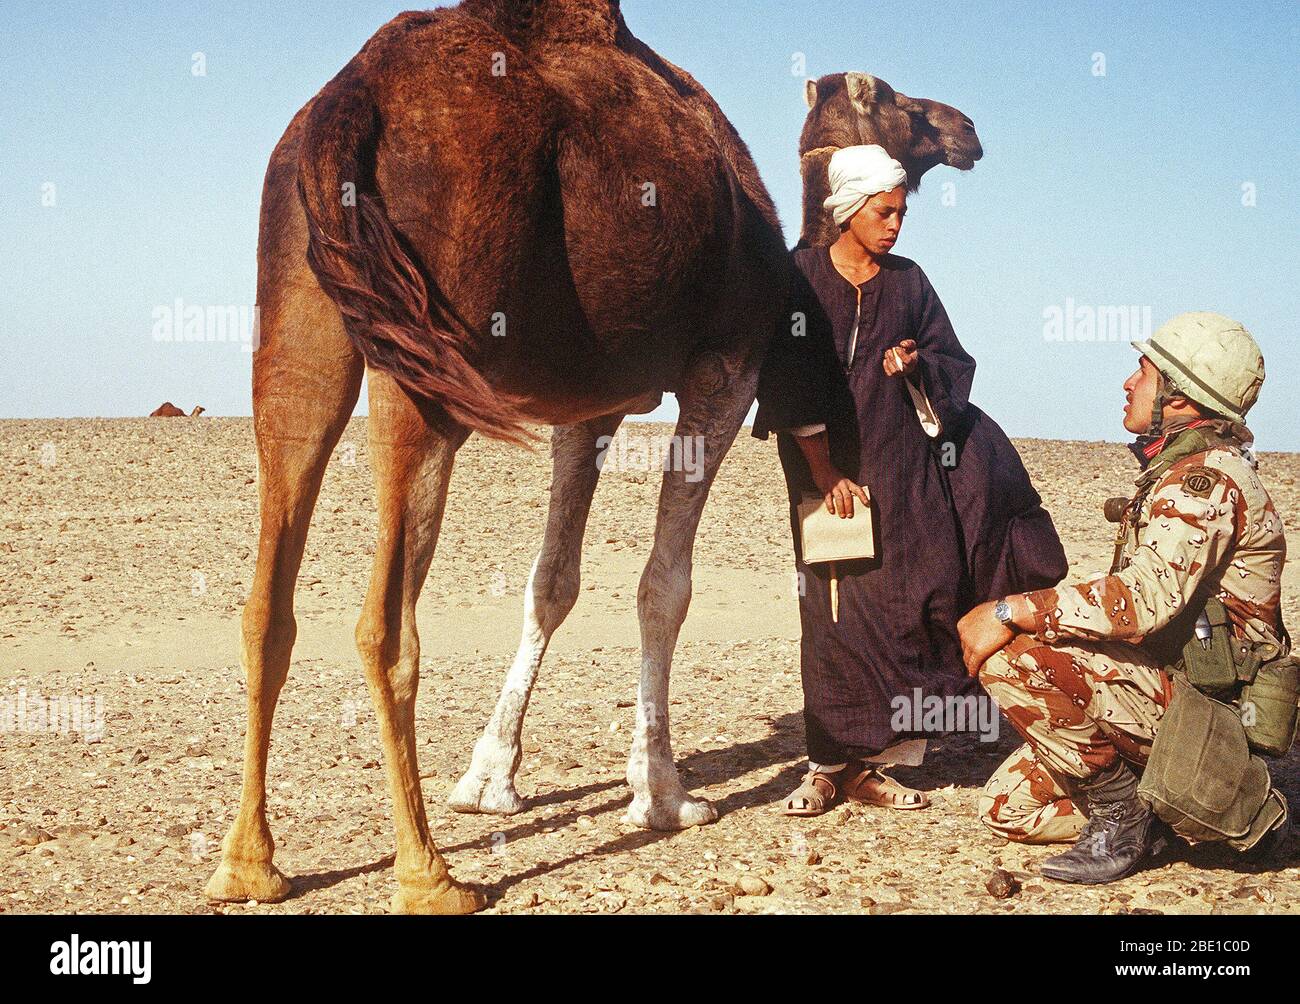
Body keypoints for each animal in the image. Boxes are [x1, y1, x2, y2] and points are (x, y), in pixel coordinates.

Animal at [205, 0, 982, 915]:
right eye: (898, 100)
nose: (966, 128)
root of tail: (347, 98)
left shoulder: (592, 404)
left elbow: (553, 581)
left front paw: (491, 779)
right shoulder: (726, 369)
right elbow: (664, 587)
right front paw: (664, 794)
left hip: (302, 316)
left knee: (268, 589)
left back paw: (250, 864)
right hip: (426, 338)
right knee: (383, 623)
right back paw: (429, 874)